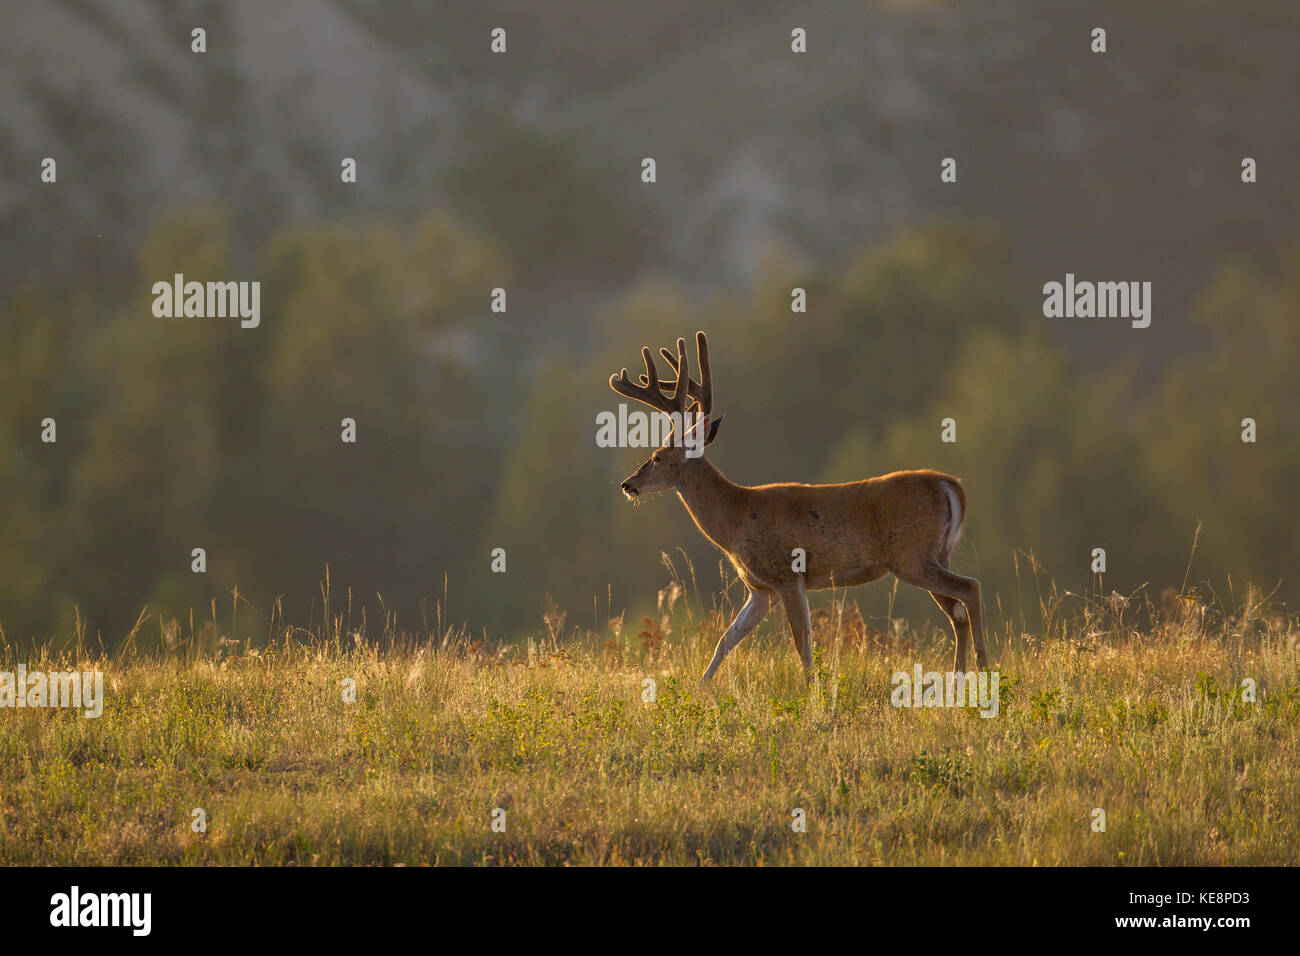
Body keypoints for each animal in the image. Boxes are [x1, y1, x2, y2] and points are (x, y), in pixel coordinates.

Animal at [609, 331, 987, 687]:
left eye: (657, 456)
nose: (627, 484)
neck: (735, 519)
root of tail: (950, 485)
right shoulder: (760, 589)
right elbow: (726, 640)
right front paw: (700, 689)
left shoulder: (788, 574)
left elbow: (801, 642)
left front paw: (812, 692)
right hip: (935, 553)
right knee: (956, 612)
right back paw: (959, 677)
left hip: (913, 556)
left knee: (969, 589)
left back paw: (983, 670)